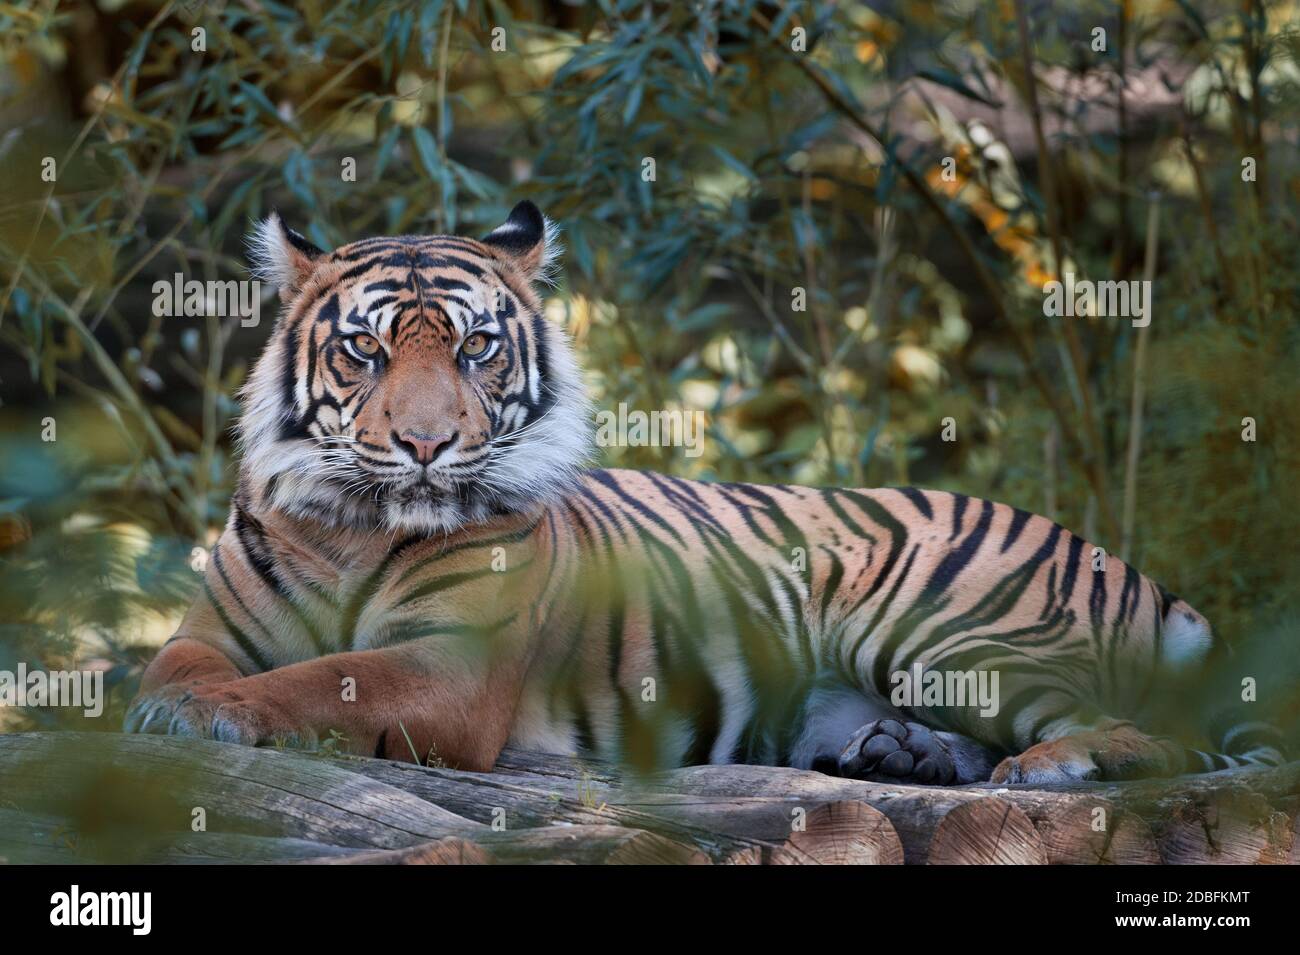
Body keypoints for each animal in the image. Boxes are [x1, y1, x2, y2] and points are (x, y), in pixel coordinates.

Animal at [125, 200, 1283, 785]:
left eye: (476, 350)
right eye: (364, 350)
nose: (424, 444)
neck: (357, 528)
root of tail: (1131, 568)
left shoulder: (452, 666)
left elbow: (328, 680)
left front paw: (217, 713)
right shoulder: (210, 625)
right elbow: (186, 664)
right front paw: (172, 703)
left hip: (951, 630)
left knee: (1156, 733)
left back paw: (1060, 769)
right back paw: (903, 754)